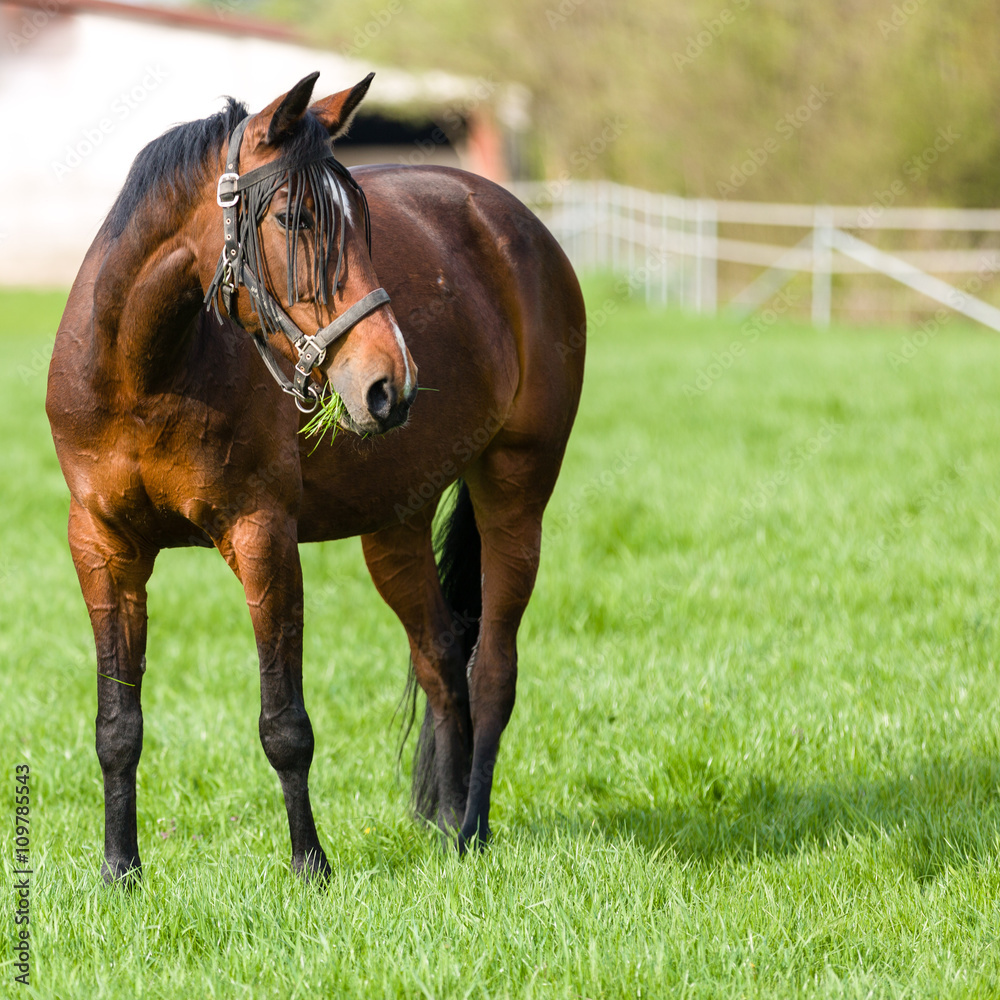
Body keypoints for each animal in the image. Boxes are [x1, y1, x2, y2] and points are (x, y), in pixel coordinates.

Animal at [46, 72, 586, 882]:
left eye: (362, 221)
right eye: (293, 217)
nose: (390, 383)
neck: (144, 370)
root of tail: (514, 221)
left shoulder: (263, 538)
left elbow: (285, 723)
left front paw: (310, 865)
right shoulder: (104, 548)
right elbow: (118, 724)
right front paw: (119, 871)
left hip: (516, 493)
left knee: (492, 669)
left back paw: (472, 830)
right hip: (394, 524)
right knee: (441, 660)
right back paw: (447, 826)